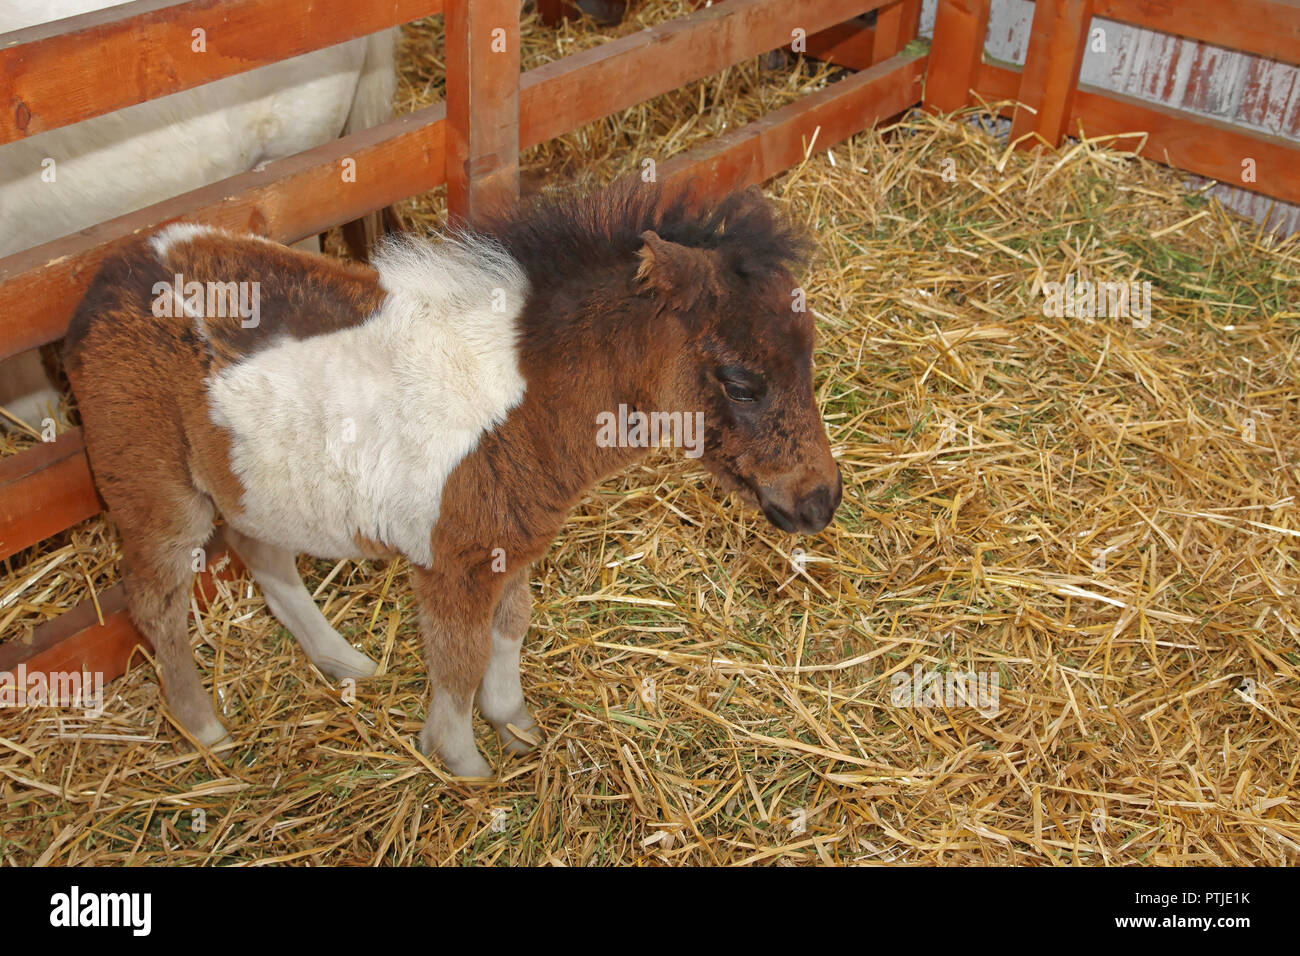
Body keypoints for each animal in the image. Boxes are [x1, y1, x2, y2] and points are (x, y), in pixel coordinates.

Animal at [63, 184, 843, 777]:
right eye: (741, 382)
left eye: (809, 356)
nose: (821, 500)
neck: (531, 401)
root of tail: (105, 278)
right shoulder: (452, 562)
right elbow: (459, 659)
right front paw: (462, 761)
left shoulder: (513, 545)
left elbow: (511, 626)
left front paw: (514, 722)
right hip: (154, 490)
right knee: (156, 598)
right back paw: (204, 729)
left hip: (255, 482)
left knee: (263, 553)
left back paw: (344, 661)